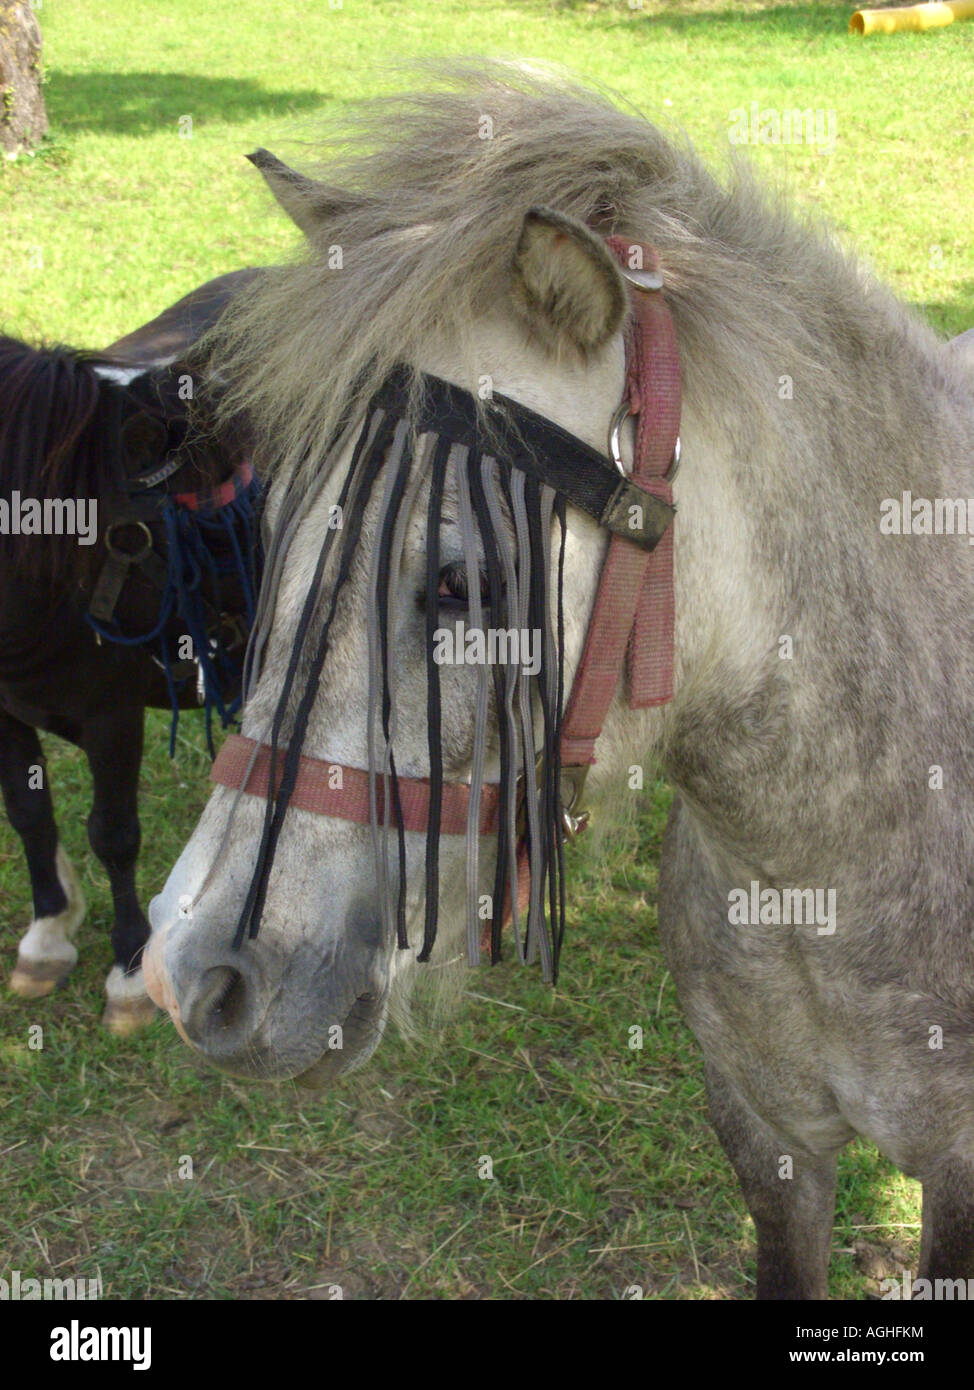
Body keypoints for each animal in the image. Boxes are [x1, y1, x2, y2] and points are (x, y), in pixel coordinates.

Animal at [1, 270, 261, 1033]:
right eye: (202, 512)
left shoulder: (111, 715)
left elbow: (112, 833)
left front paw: (126, 971)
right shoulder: (3, 710)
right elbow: (29, 811)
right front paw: (48, 933)